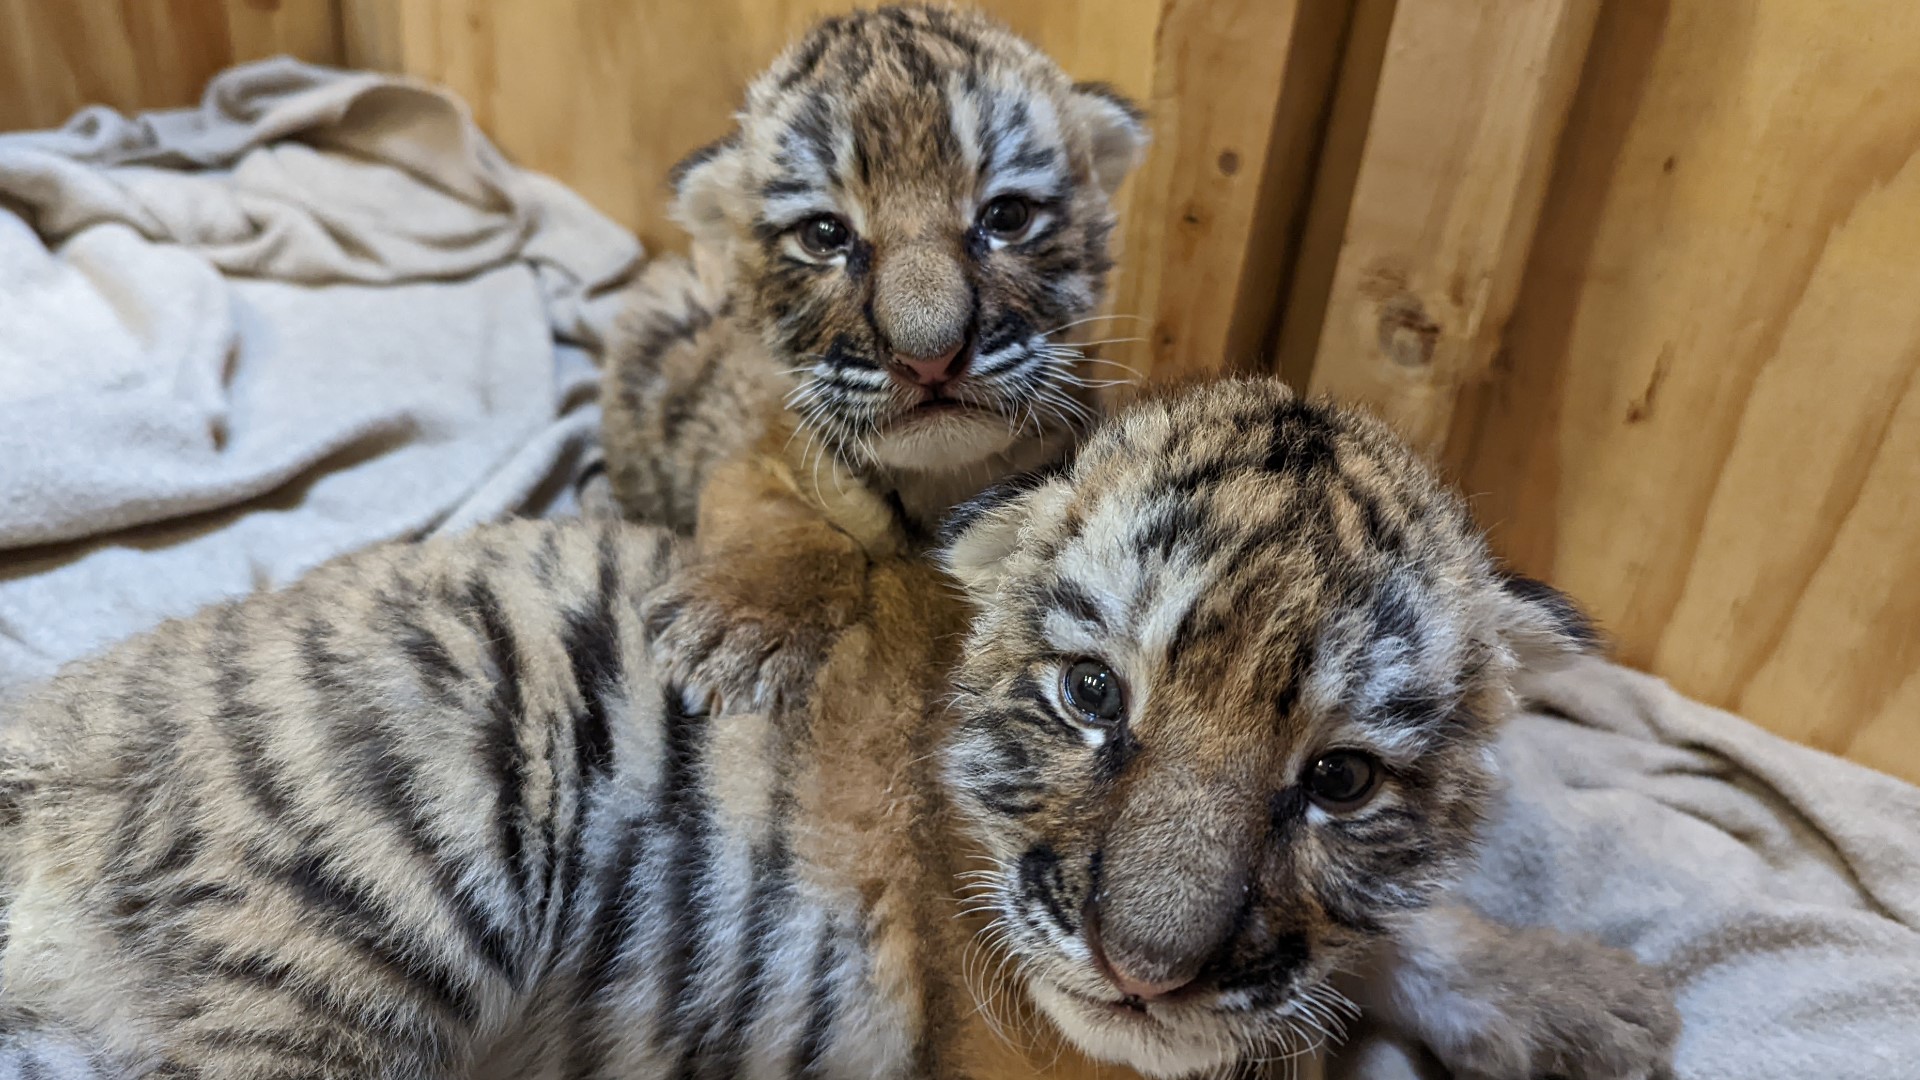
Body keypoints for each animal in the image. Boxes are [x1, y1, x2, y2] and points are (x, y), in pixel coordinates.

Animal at [0, 376, 1678, 1080]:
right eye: (1095, 700)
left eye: (1339, 780)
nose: (1144, 974)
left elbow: (1375, 942)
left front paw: (1589, 1003)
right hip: (390, 872)